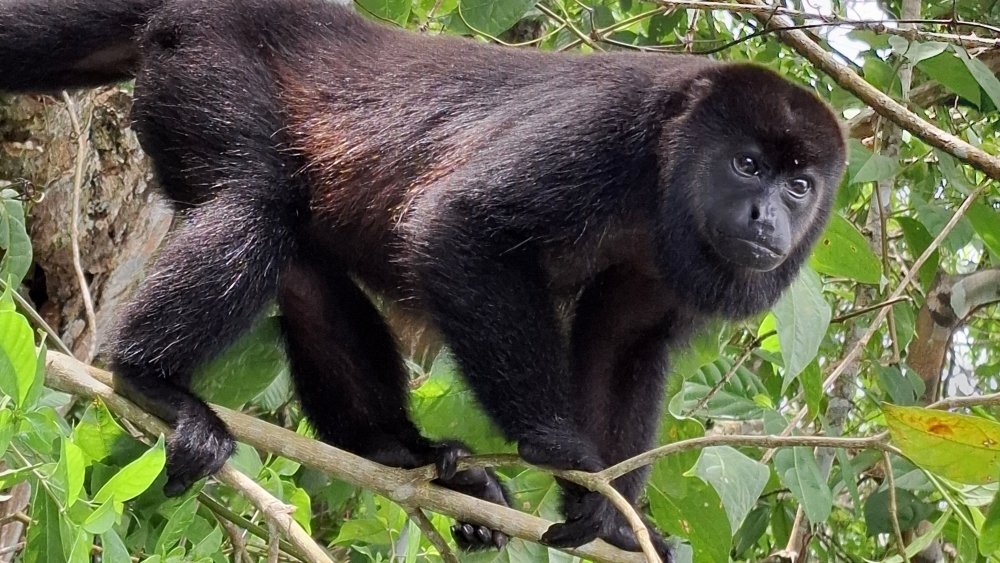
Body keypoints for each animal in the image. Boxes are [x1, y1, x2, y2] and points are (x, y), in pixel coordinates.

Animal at [0, 0, 846, 558]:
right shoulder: (607, 131)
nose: (769, 217)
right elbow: (458, 223)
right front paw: (560, 447)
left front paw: (613, 518)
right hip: (208, 68)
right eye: (748, 164)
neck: (665, 175)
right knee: (255, 204)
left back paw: (400, 454)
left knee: (303, 267)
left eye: (800, 184)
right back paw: (149, 378)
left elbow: (623, 344)